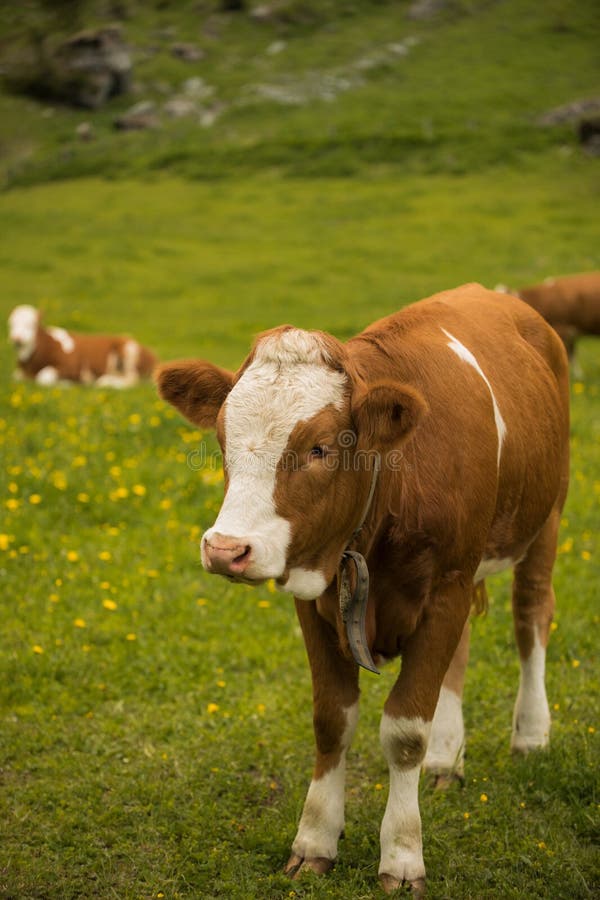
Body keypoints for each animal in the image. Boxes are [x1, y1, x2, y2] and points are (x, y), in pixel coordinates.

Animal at [8, 305, 158, 387]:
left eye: (31, 325)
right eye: (11, 324)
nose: (17, 339)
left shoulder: (71, 367)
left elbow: (43, 377)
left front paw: (66, 384)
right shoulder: (21, 373)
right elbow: (16, 377)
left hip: (128, 351)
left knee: (132, 380)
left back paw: (103, 382)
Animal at [156, 284, 569, 895]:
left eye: (321, 448)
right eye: (223, 440)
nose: (227, 549)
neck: (390, 491)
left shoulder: (445, 588)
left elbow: (405, 729)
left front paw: (402, 855)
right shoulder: (316, 597)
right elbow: (332, 719)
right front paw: (314, 841)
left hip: (546, 517)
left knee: (531, 615)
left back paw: (531, 735)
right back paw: (447, 759)